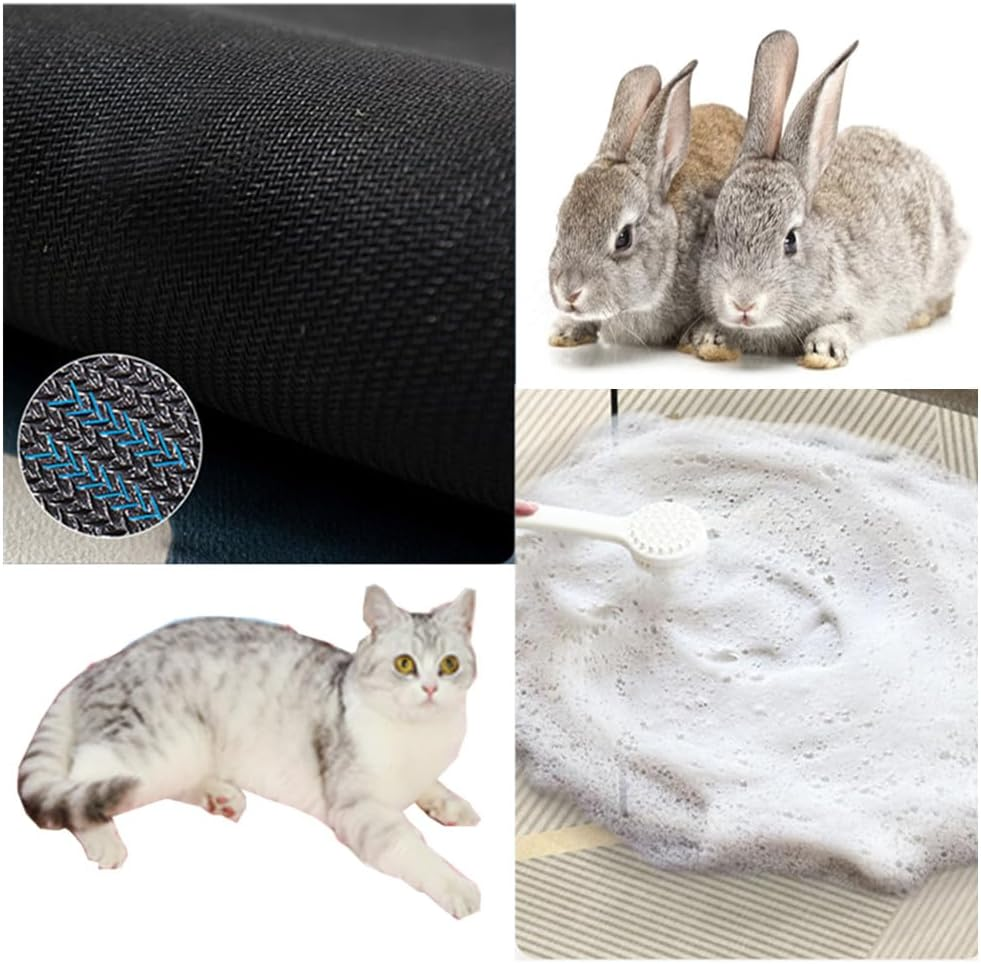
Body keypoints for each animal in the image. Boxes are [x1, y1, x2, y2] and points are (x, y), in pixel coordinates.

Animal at [689, 30, 966, 368]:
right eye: (716, 237)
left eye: (790, 241)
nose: (743, 303)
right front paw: (708, 336)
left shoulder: (859, 304)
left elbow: (848, 325)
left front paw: (823, 349)